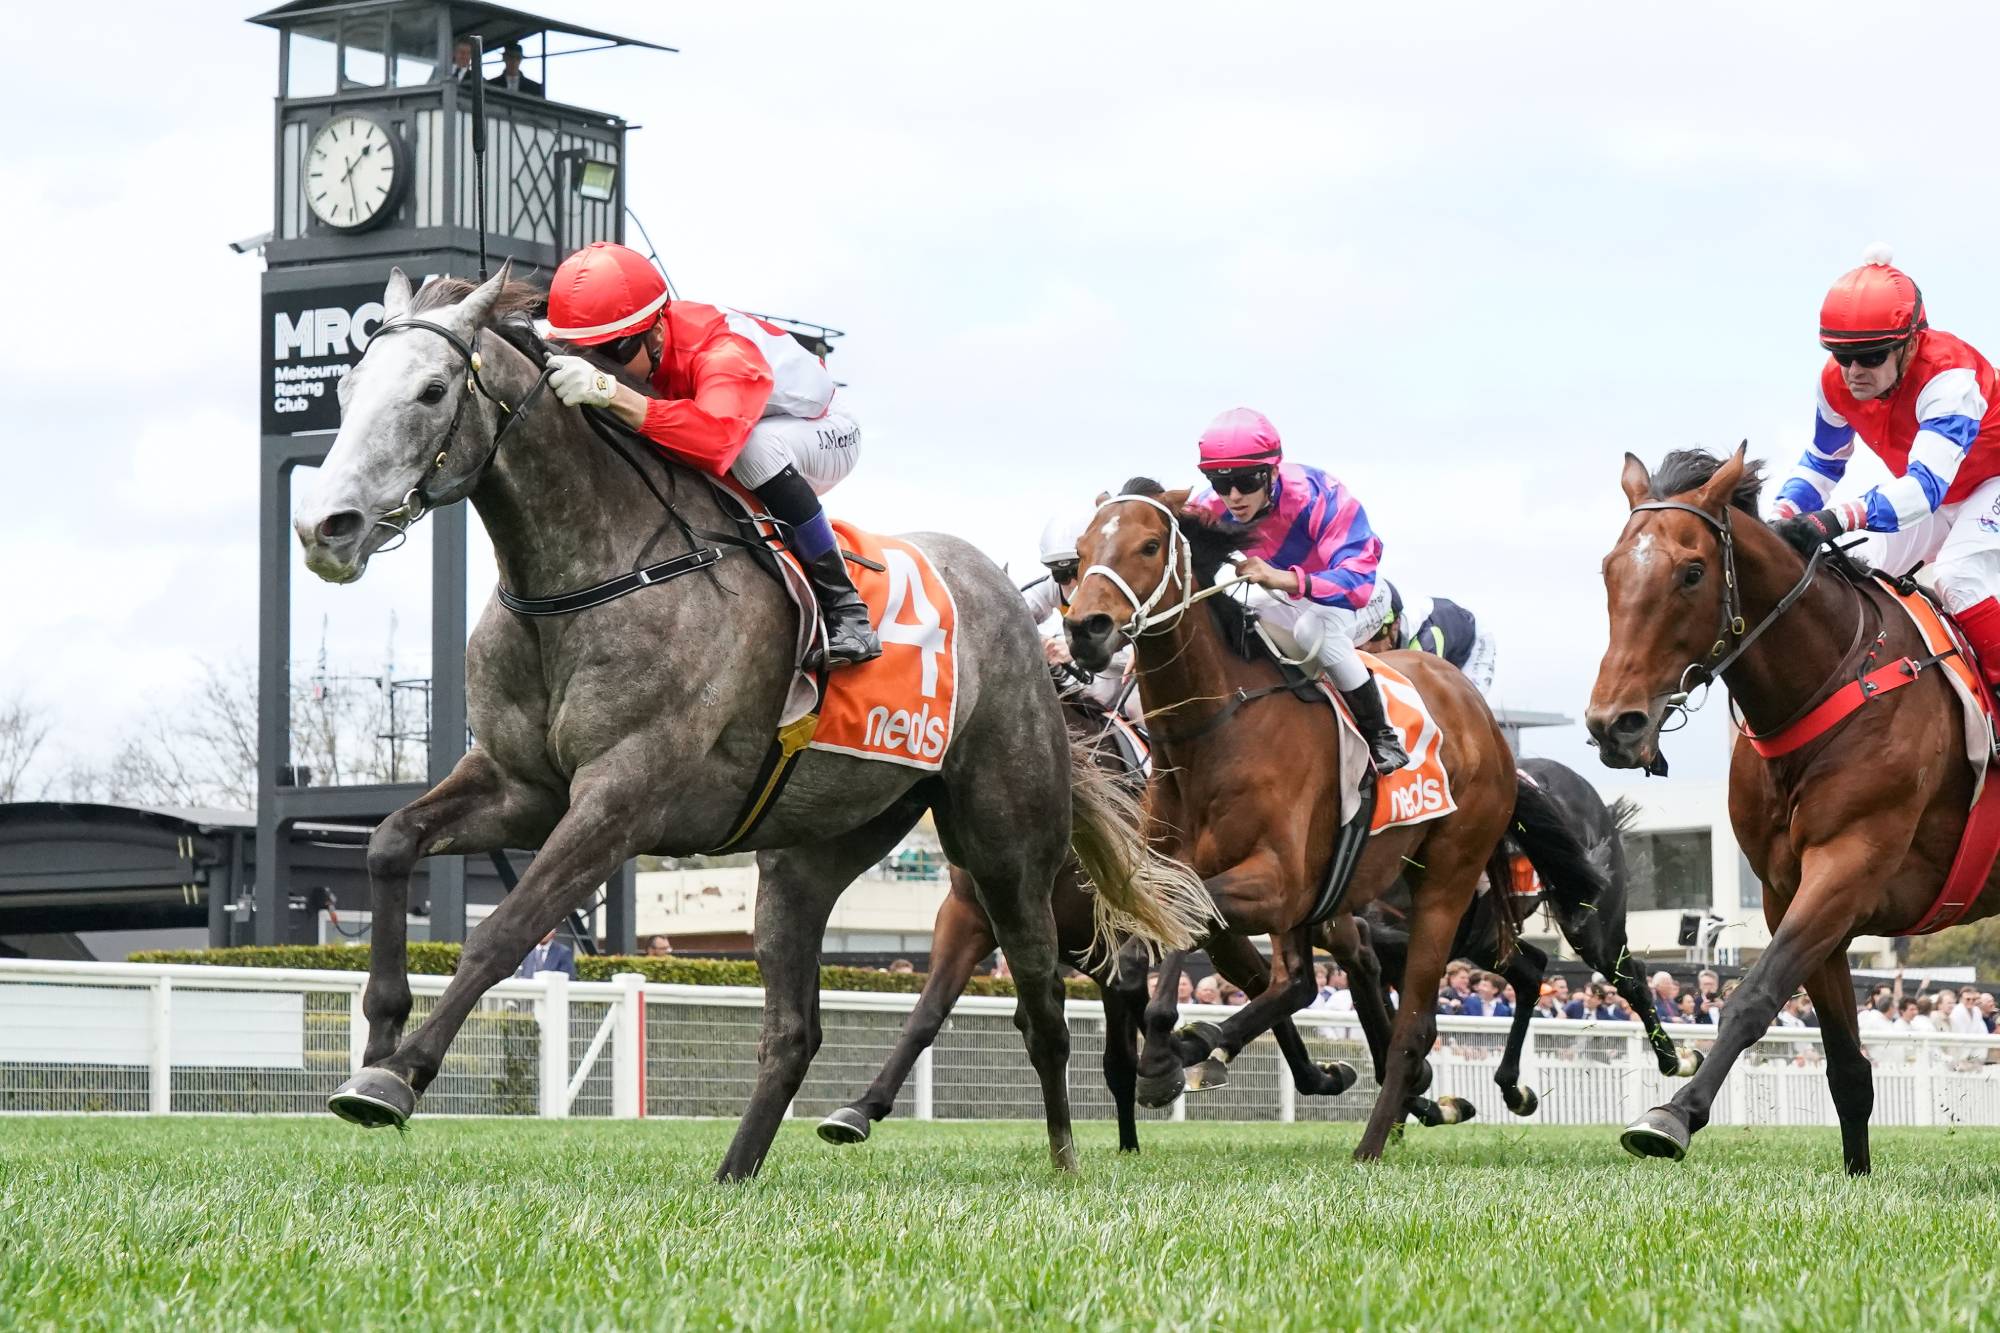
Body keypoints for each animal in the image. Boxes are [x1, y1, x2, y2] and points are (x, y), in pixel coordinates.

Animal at [292, 268, 1215, 1181]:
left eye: (432, 389)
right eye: (344, 388)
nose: (324, 527)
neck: (595, 575)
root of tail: (1021, 616)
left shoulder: (621, 798)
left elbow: (503, 932)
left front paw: (397, 1076)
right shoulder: (523, 785)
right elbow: (391, 842)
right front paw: (378, 1031)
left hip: (1005, 846)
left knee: (1043, 1002)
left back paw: (1065, 1158)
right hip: (809, 852)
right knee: (794, 1031)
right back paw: (733, 1175)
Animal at [1064, 492, 1611, 1160]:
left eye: (1147, 545)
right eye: (1082, 551)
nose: (1085, 628)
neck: (1214, 733)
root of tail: (1483, 716)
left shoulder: (1279, 884)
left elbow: (1193, 926)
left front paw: (1165, 1058)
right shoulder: (1173, 879)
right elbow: (1151, 951)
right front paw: (1178, 1049)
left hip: (1446, 883)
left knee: (1414, 1026)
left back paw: (1372, 1143)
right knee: (1307, 982)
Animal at [1361, 756, 1699, 1117]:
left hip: (1591, 922)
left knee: (1631, 979)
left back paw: (1675, 1060)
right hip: (1490, 939)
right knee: (1532, 970)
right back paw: (1512, 1089)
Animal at [1588, 445, 2000, 1172]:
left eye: (1692, 571)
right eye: (1609, 570)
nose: (1615, 724)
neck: (1834, 680)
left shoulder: (1847, 864)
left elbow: (1753, 995)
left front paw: (1673, 1114)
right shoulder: (1791, 890)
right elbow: (1847, 1066)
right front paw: (1858, 1174)